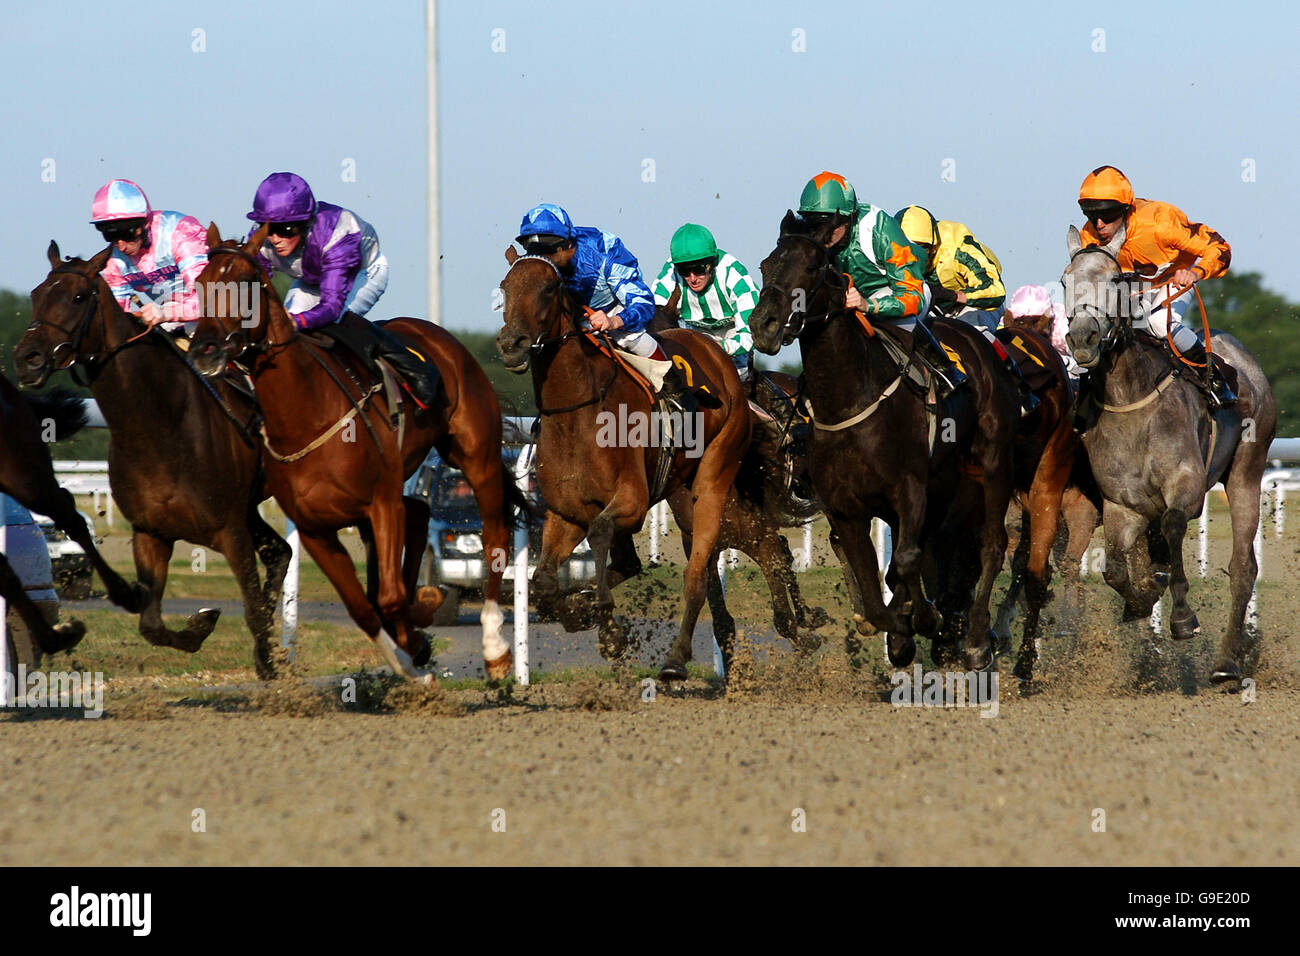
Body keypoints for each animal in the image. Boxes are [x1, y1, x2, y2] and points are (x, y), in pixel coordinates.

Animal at [16, 243, 292, 678]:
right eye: (35, 295)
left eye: (78, 297)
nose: (27, 357)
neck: (159, 424)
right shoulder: (151, 532)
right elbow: (151, 625)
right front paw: (201, 623)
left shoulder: (230, 530)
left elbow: (250, 609)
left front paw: (270, 666)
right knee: (280, 552)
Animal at [188, 225, 523, 682]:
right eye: (200, 284)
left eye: (244, 282)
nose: (203, 350)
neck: (307, 415)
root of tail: (442, 337)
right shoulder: (315, 528)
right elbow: (364, 608)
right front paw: (410, 658)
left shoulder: (379, 504)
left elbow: (389, 597)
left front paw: (416, 646)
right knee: (419, 512)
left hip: (476, 457)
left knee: (493, 536)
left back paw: (494, 648)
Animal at [495, 249, 751, 681]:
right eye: (505, 287)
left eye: (548, 287)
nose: (513, 343)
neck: (577, 411)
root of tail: (716, 352)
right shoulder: (567, 510)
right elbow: (544, 579)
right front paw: (576, 609)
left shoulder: (631, 501)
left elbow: (600, 534)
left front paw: (609, 630)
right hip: (680, 492)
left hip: (714, 477)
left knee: (696, 575)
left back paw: (675, 659)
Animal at [748, 211, 1017, 671]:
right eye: (766, 266)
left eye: (812, 267)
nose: (763, 324)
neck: (848, 400)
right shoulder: (844, 508)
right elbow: (875, 594)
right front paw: (900, 630)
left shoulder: (908, 487)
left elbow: (908, 560)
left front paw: (927, 619)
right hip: (945, 482)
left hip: (992, 462)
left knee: (990, 545)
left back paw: (978, 640)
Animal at [1063, 223, 1276, 683]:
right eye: (1065, 280)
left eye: (1116, 279)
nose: (1083, 338)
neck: (1131, 398)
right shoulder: (1121, 504)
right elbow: (1115, 568)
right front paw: (1142, 600)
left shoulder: (1187, 484)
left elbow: (1176, 524)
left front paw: (1181, 617)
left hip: (1247, 471)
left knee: (1243, 567)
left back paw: (1227, 661)